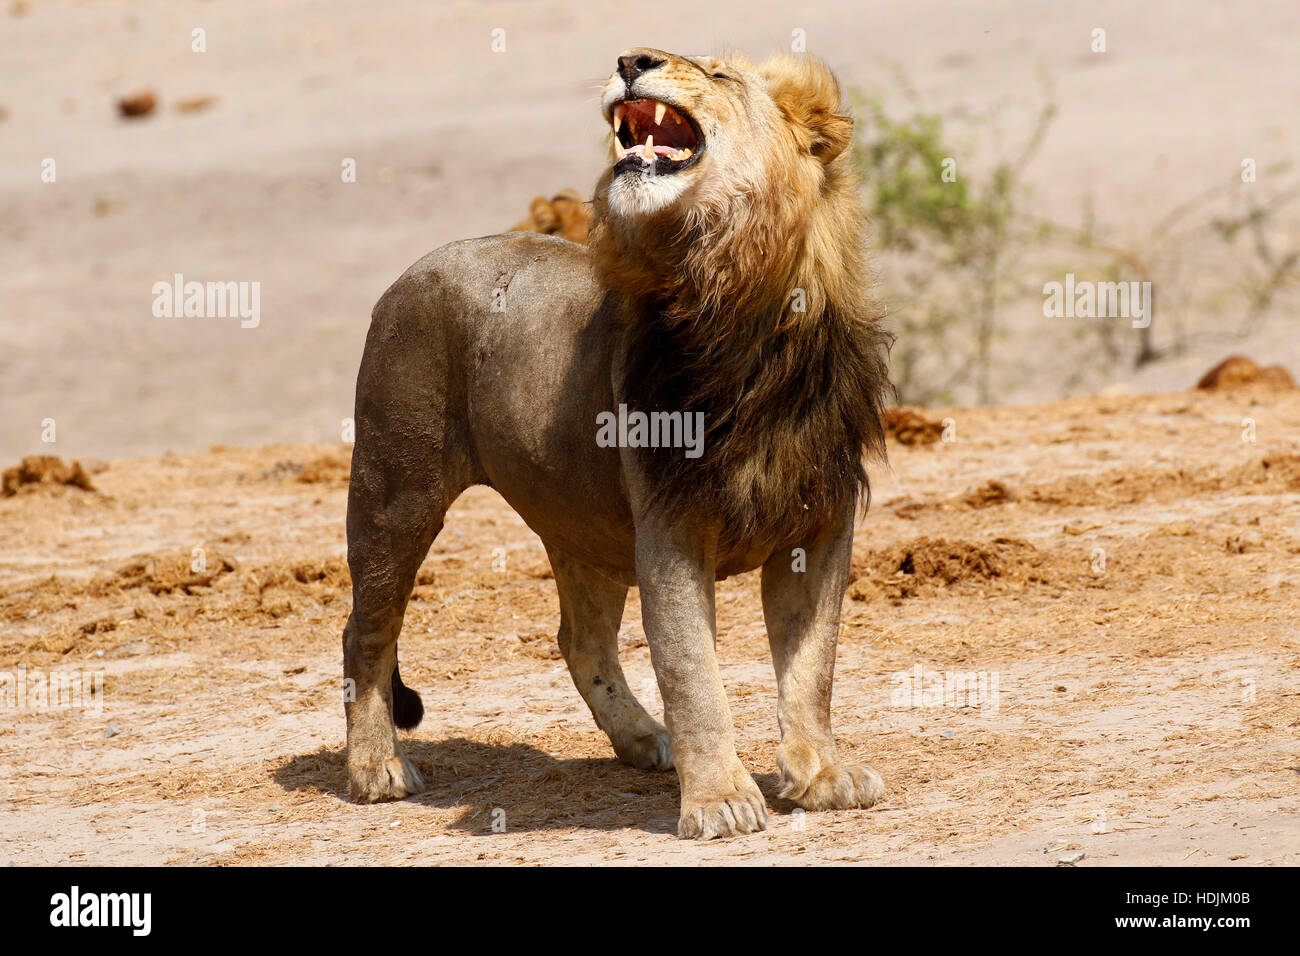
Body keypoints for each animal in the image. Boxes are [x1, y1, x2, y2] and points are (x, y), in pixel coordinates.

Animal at [344, 48, 893, 839]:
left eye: (720, 76)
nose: (632, 59)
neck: (740, 309)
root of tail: (417, 267)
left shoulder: (819, 525)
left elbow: (812, 665)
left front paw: (821, 772)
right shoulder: (670, 530)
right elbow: (694, 675)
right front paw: (721, 799)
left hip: (584, 524)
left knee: (582, 640)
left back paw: (640, 739)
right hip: (395, 492)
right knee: (366, 632)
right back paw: (374, 768)